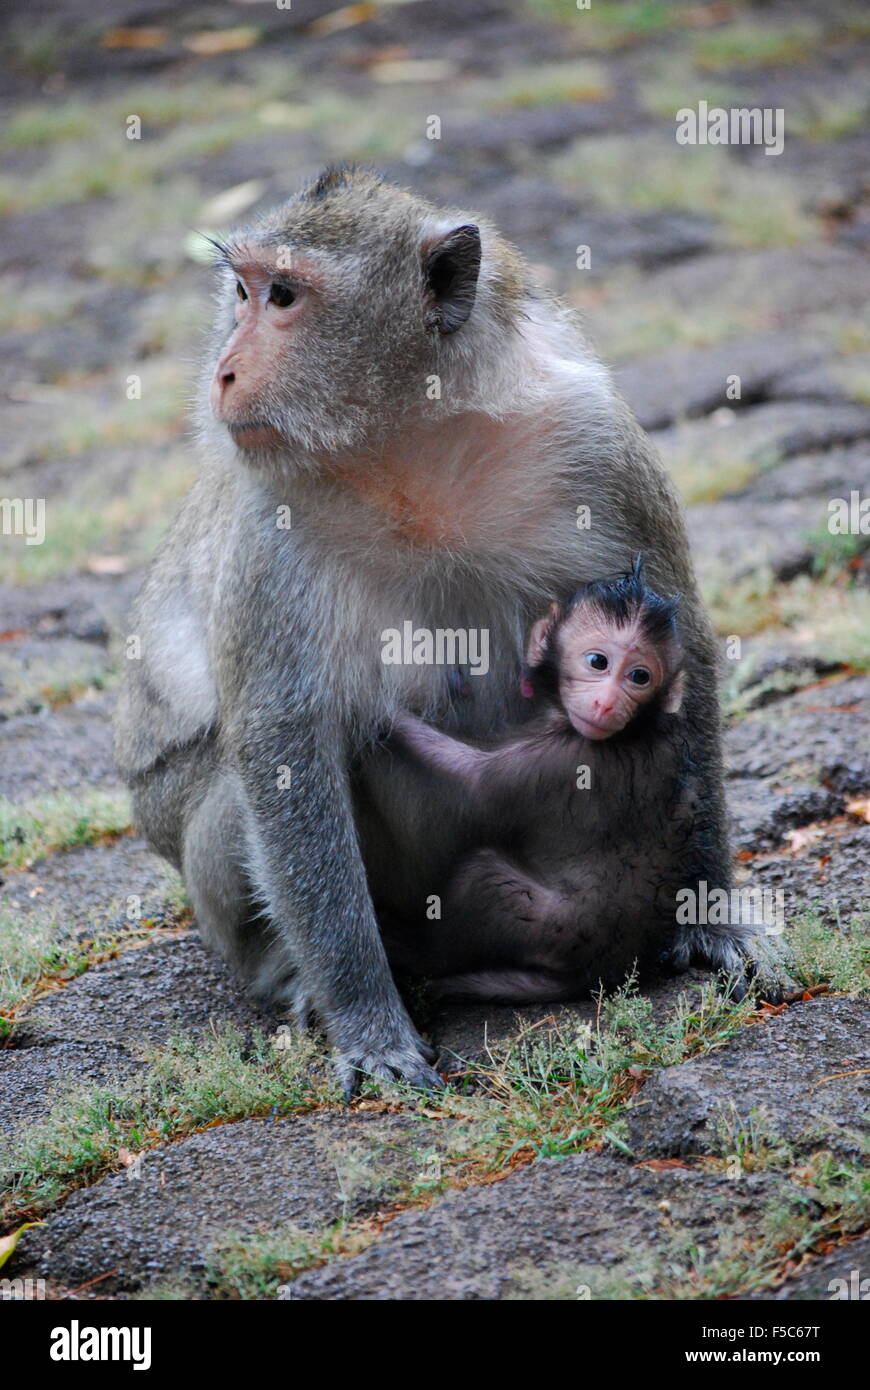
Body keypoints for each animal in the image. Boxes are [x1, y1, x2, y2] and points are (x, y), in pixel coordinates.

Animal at [114, 166, 780, 1096]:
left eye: (282, 296)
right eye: (241, 293)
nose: (224, 371)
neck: (410, 445)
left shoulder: (597, 444)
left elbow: (686, 651)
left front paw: (708, 918)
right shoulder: (270, 520)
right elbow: (285, 742)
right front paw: (367, 1021)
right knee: (228, 797)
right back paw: (305, 974)